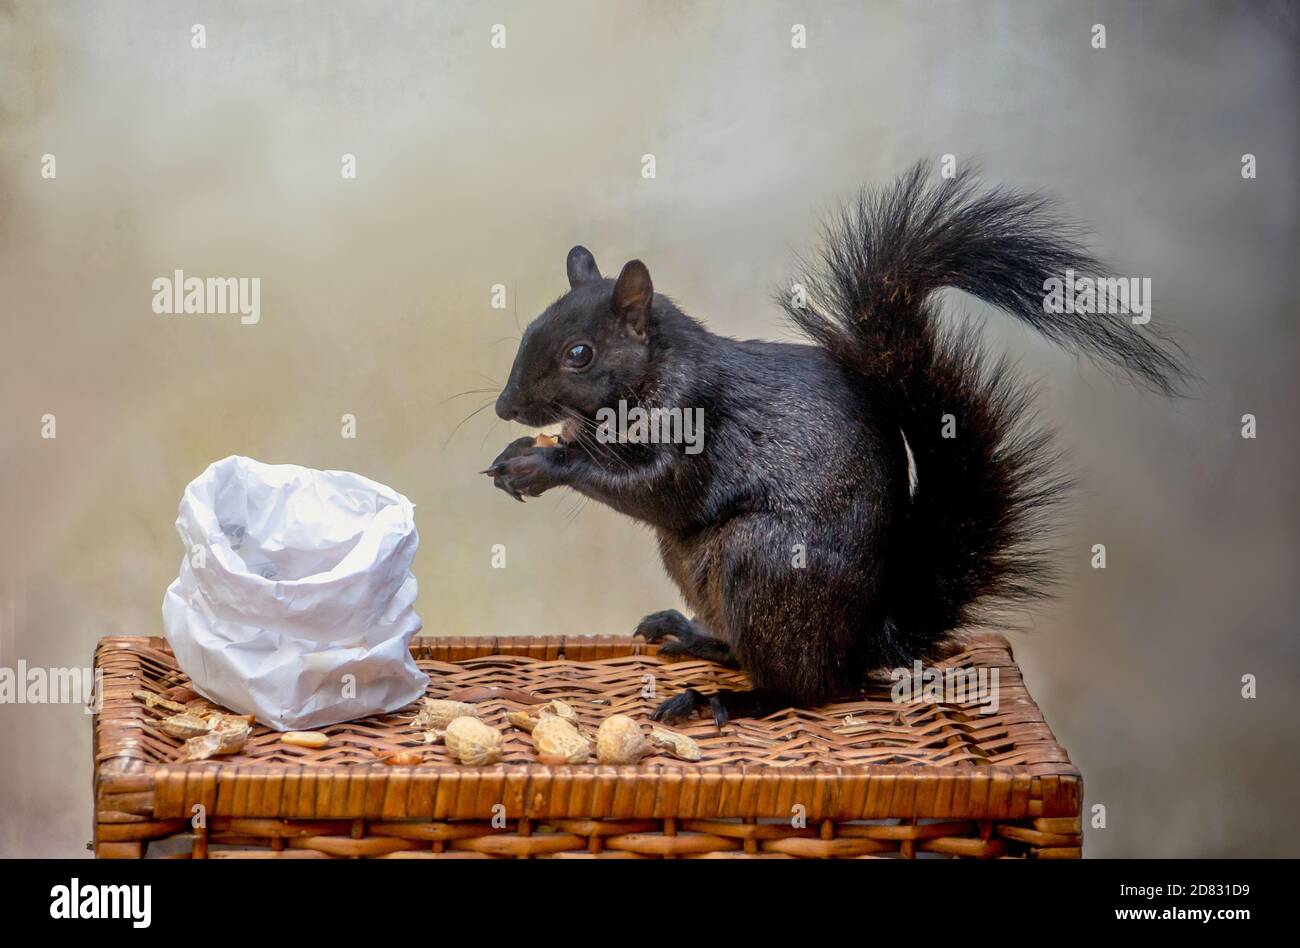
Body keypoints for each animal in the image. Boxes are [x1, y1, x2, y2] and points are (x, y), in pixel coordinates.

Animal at [484, 163, 1186, 725]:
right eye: (531, 327)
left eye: (581, 354)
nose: (505, 408)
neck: (652, 374)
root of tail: (866, 641)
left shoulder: (696, 425)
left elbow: (656, 489)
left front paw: (542, 462)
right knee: (762, 658)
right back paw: (693, 635)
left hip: (764, 565)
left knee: (807, 689)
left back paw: (721, 700)